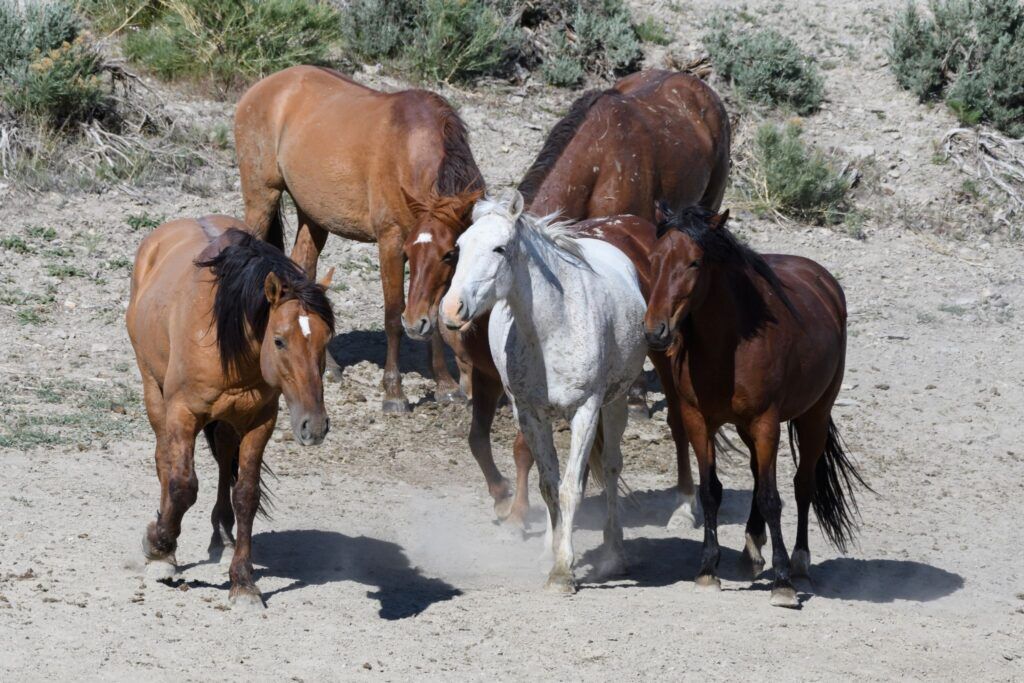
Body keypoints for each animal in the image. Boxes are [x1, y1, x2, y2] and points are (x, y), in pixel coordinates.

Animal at [126, 216, 335, 608]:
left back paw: (221, 534)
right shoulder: (182, 414)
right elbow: (181, 485)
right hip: (153, 390)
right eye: (279, 340)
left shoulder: (260, 421)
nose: (314, 426)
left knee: (224, 460)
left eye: (326, 340)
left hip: (227, 419)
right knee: (164, 461)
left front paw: (243, 582)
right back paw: (166, 553)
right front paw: (158, 545)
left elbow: (246, 495)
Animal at [235, 65, 483, 413]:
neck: (410, 148)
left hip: (313, 216)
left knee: (305, 270)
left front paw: (446, 386)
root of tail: (260, 88)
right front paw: (394, 392)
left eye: (449, 254)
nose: (414, 324)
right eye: (409, 250)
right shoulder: (391, 242)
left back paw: (329, 366)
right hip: (262, 198)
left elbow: (435, 312)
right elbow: (393, 314)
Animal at [405, 69, 729, 528]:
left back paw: (684, 502)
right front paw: (503, 497)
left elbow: (523, 448)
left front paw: (521, 512)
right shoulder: (490, 379)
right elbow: (479, 441)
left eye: (449, 252)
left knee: (680, 424)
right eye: (410, 252)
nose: (419, 319)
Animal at [440, 193, 649, 592]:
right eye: (459, 247)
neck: (554, 327)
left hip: (615, 403)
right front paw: (555, 559)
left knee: (611, 467)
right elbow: (549, 486)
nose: (451, 310)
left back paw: (614, 555)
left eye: (500, 248)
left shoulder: (587, 410)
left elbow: (571, 488)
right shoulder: (531, 413)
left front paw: (564, 572)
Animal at [643, 206, 870, 608]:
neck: (728, 346)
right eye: (653, 260)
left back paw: (798, 562)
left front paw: (782, 582)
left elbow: (771, 497)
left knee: (802, 484)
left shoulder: (766, 422)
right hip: (747, 428)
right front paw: (708, 569)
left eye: (694, 262)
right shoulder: (698, 420)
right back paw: (751, 549)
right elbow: (710, 491)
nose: (656, 331)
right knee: (755, 473)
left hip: (813, 416)